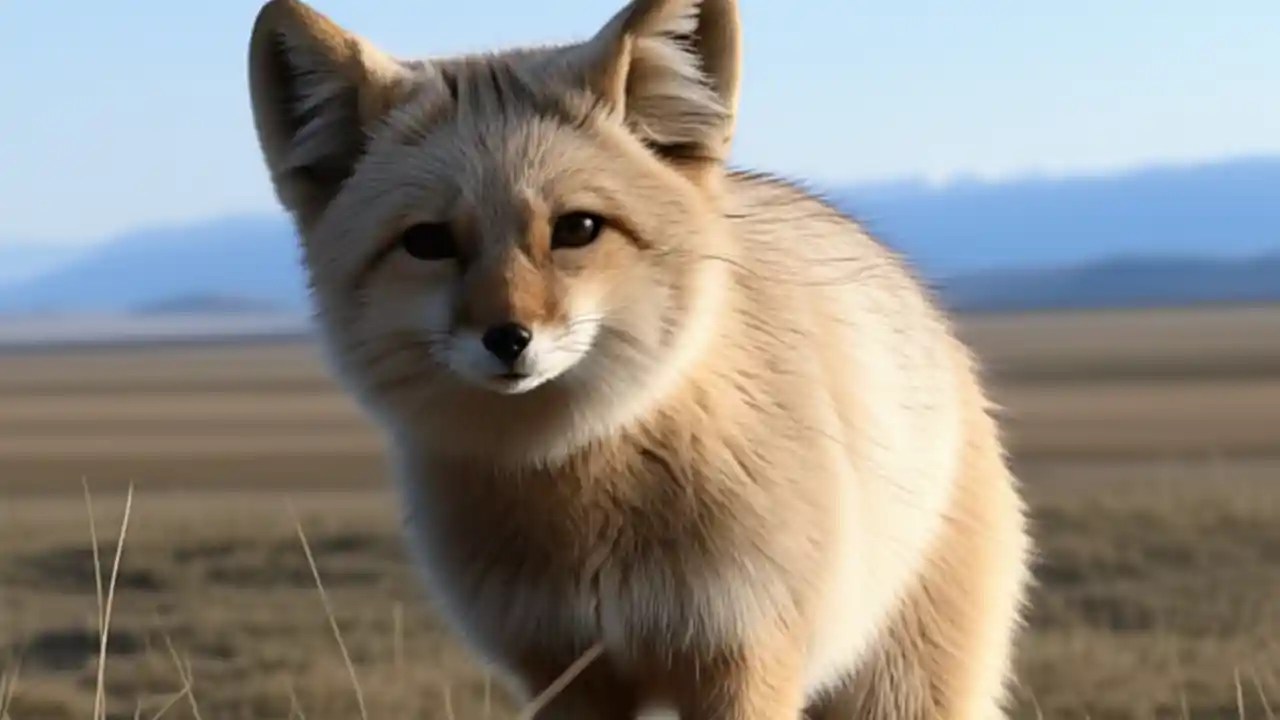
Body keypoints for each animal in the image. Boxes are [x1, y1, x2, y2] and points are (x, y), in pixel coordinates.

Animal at [246, 0, 1031, 717]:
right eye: (429, 243)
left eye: (577, 229)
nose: (508, 338)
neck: (588, 515)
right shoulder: (562, 670)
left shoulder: (740, 653)